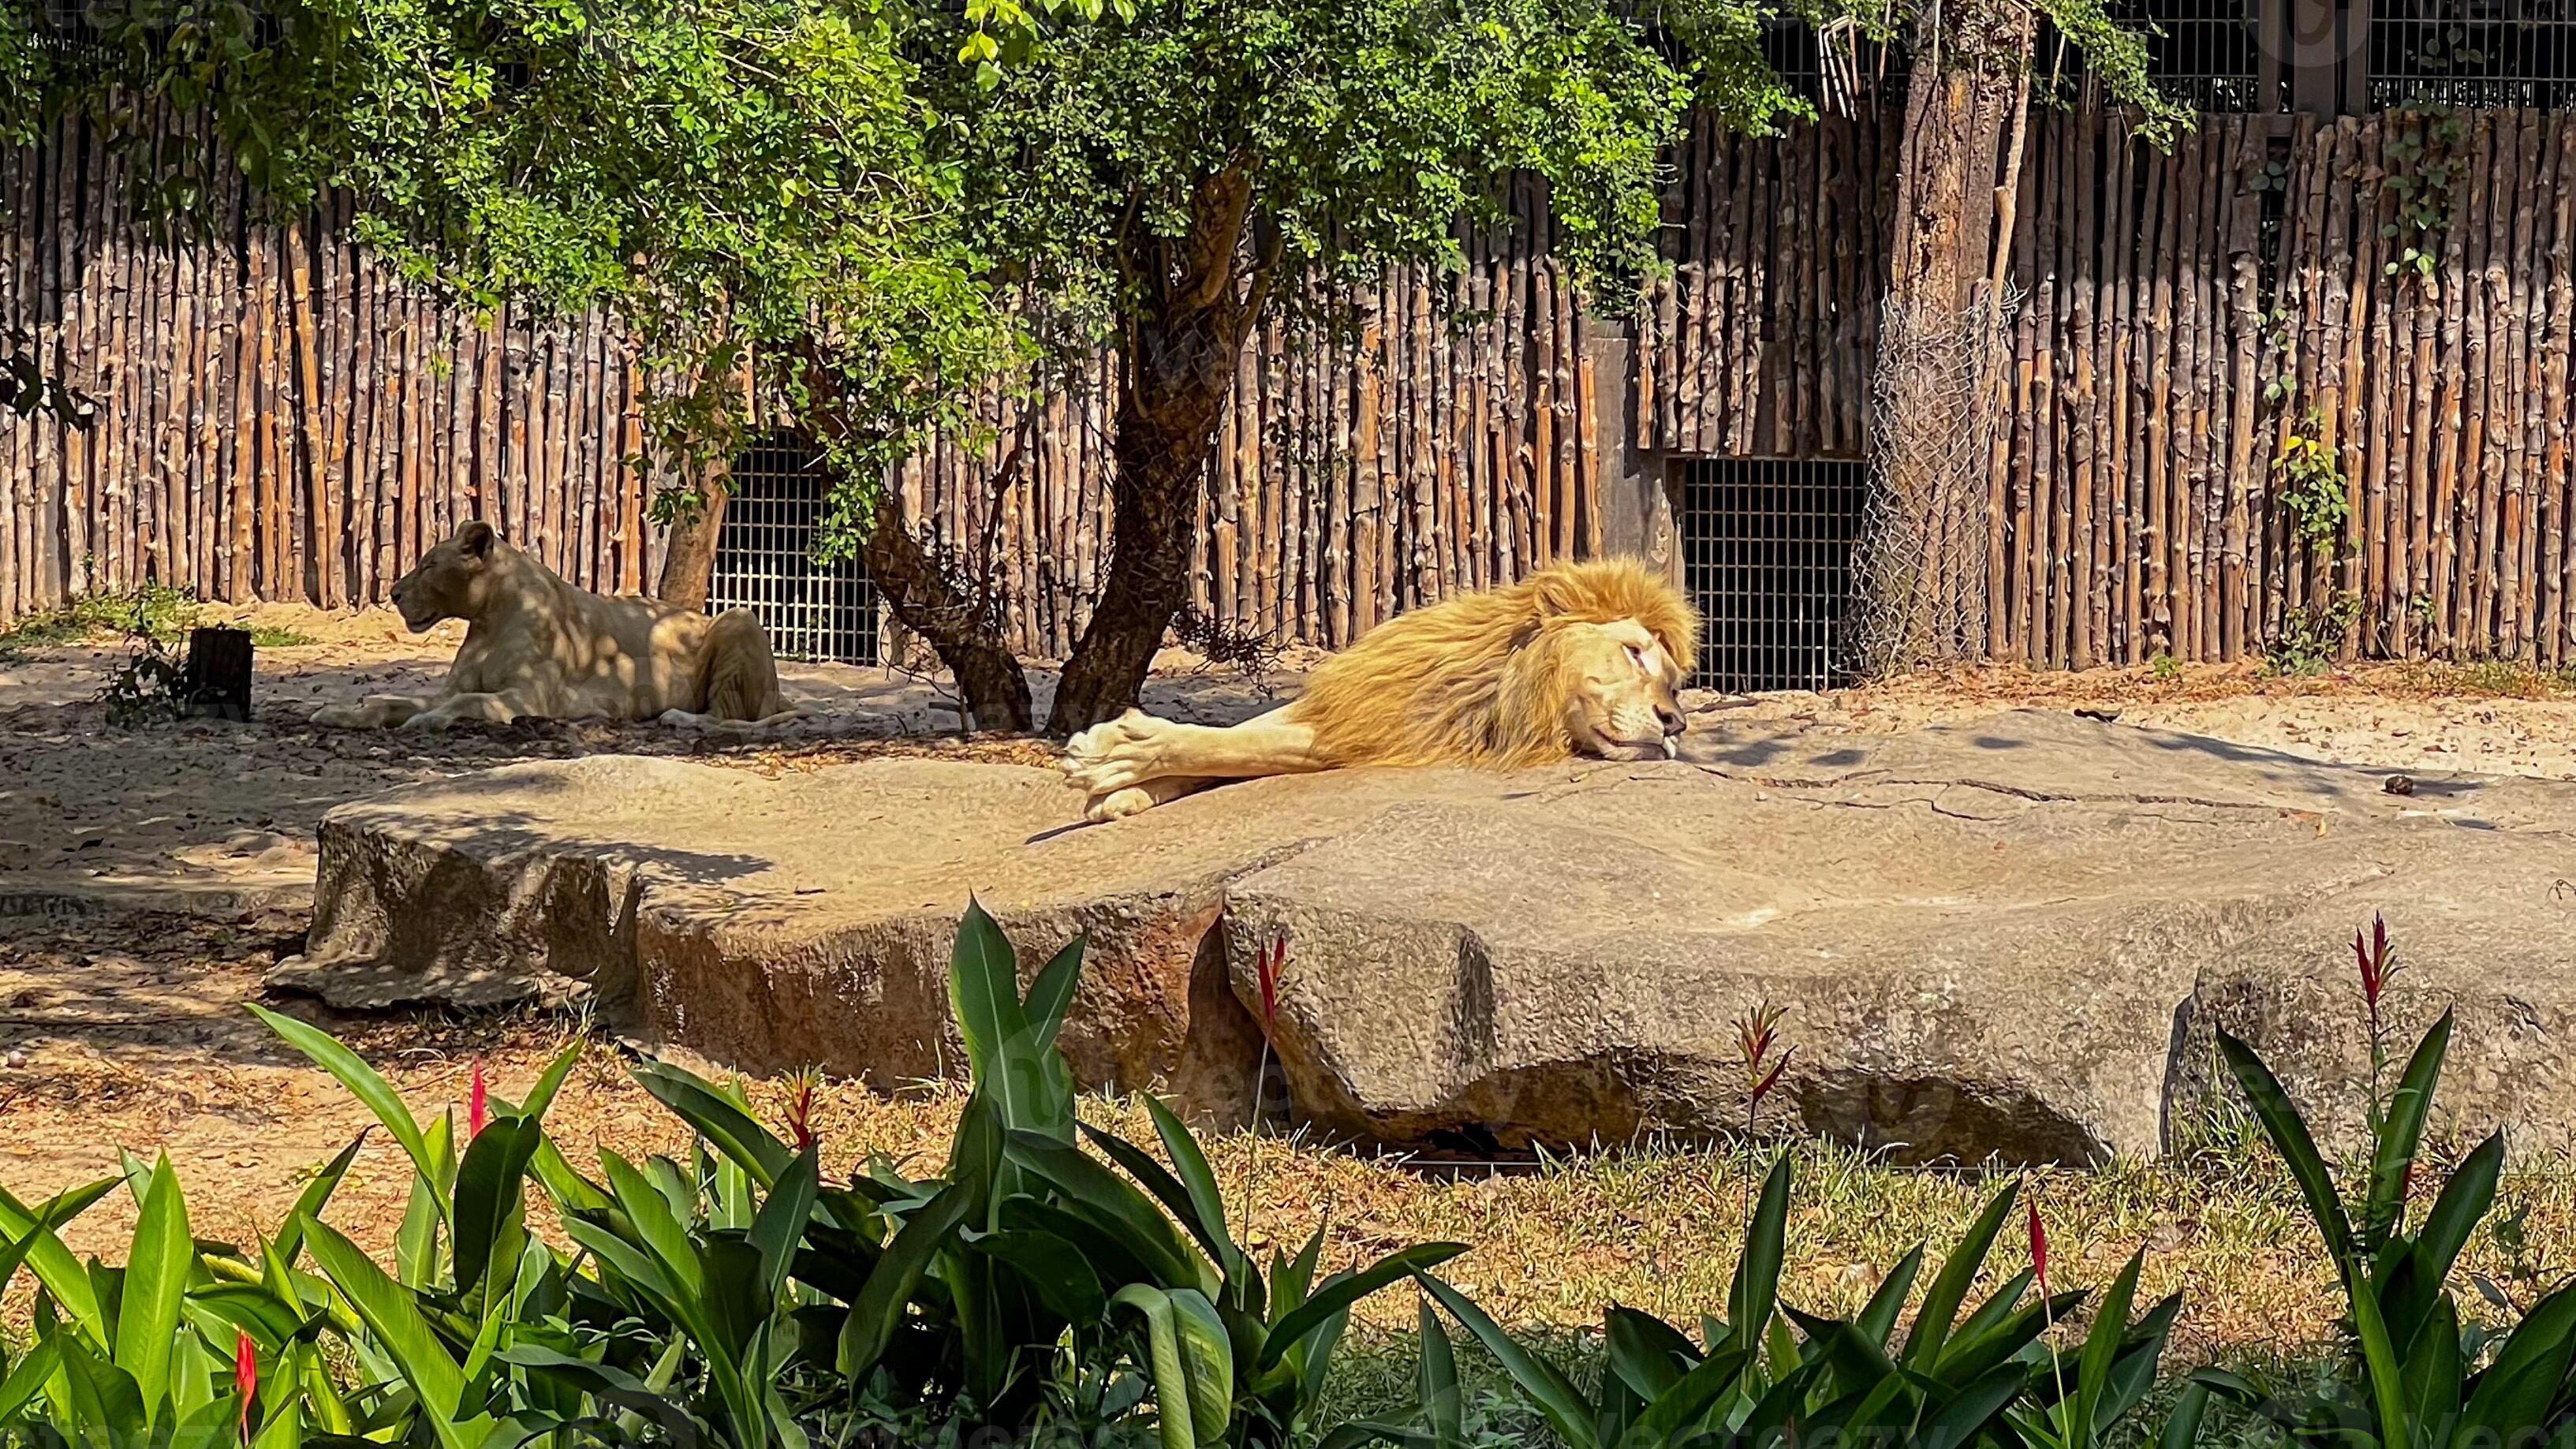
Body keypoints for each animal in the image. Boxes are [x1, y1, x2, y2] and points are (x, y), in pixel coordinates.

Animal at [310, 520, 797, 732]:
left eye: (430, 565)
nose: (394, 593)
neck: (488, 620)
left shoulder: (532, 699)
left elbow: (468, 702)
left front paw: (427, 721)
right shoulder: (452, 687)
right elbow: (392, 700)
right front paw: (337, 713)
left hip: (739, 619)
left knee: (727, 717)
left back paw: (677, 716)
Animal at [1061, 556, 1697, 822]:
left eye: (1674, 684)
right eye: (1634, 652)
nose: (1677, 724)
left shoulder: (1377, 733)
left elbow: (1234, 748)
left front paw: (1116, 764)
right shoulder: (1356, 700)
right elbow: (1236, 735)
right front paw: (1119, 778)